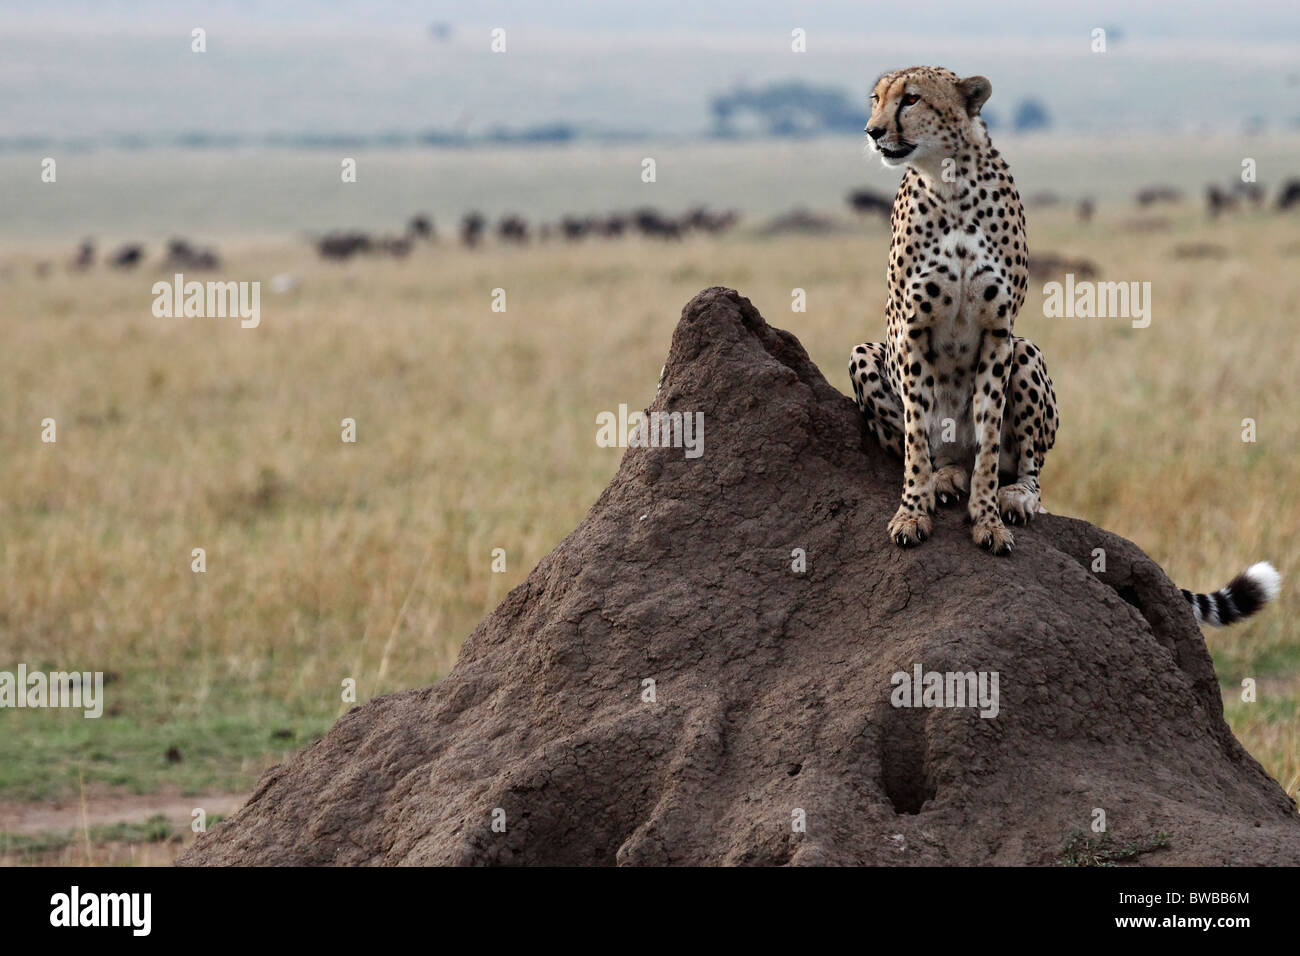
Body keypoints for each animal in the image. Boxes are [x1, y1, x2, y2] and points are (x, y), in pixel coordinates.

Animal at [849, 65, 1279, 627]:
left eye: (911, 99)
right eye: (876, 99)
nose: (873, 131)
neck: (949, 183)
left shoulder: (998, 332)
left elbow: (989, 438)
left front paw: (988, 520)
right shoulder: (910, 329)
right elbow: (917, 438)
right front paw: (911, 513)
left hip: (1026, 352)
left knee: (1023, 467)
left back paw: (1016, 496)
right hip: (865, 353)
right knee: (936, 447)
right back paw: (946, 478)